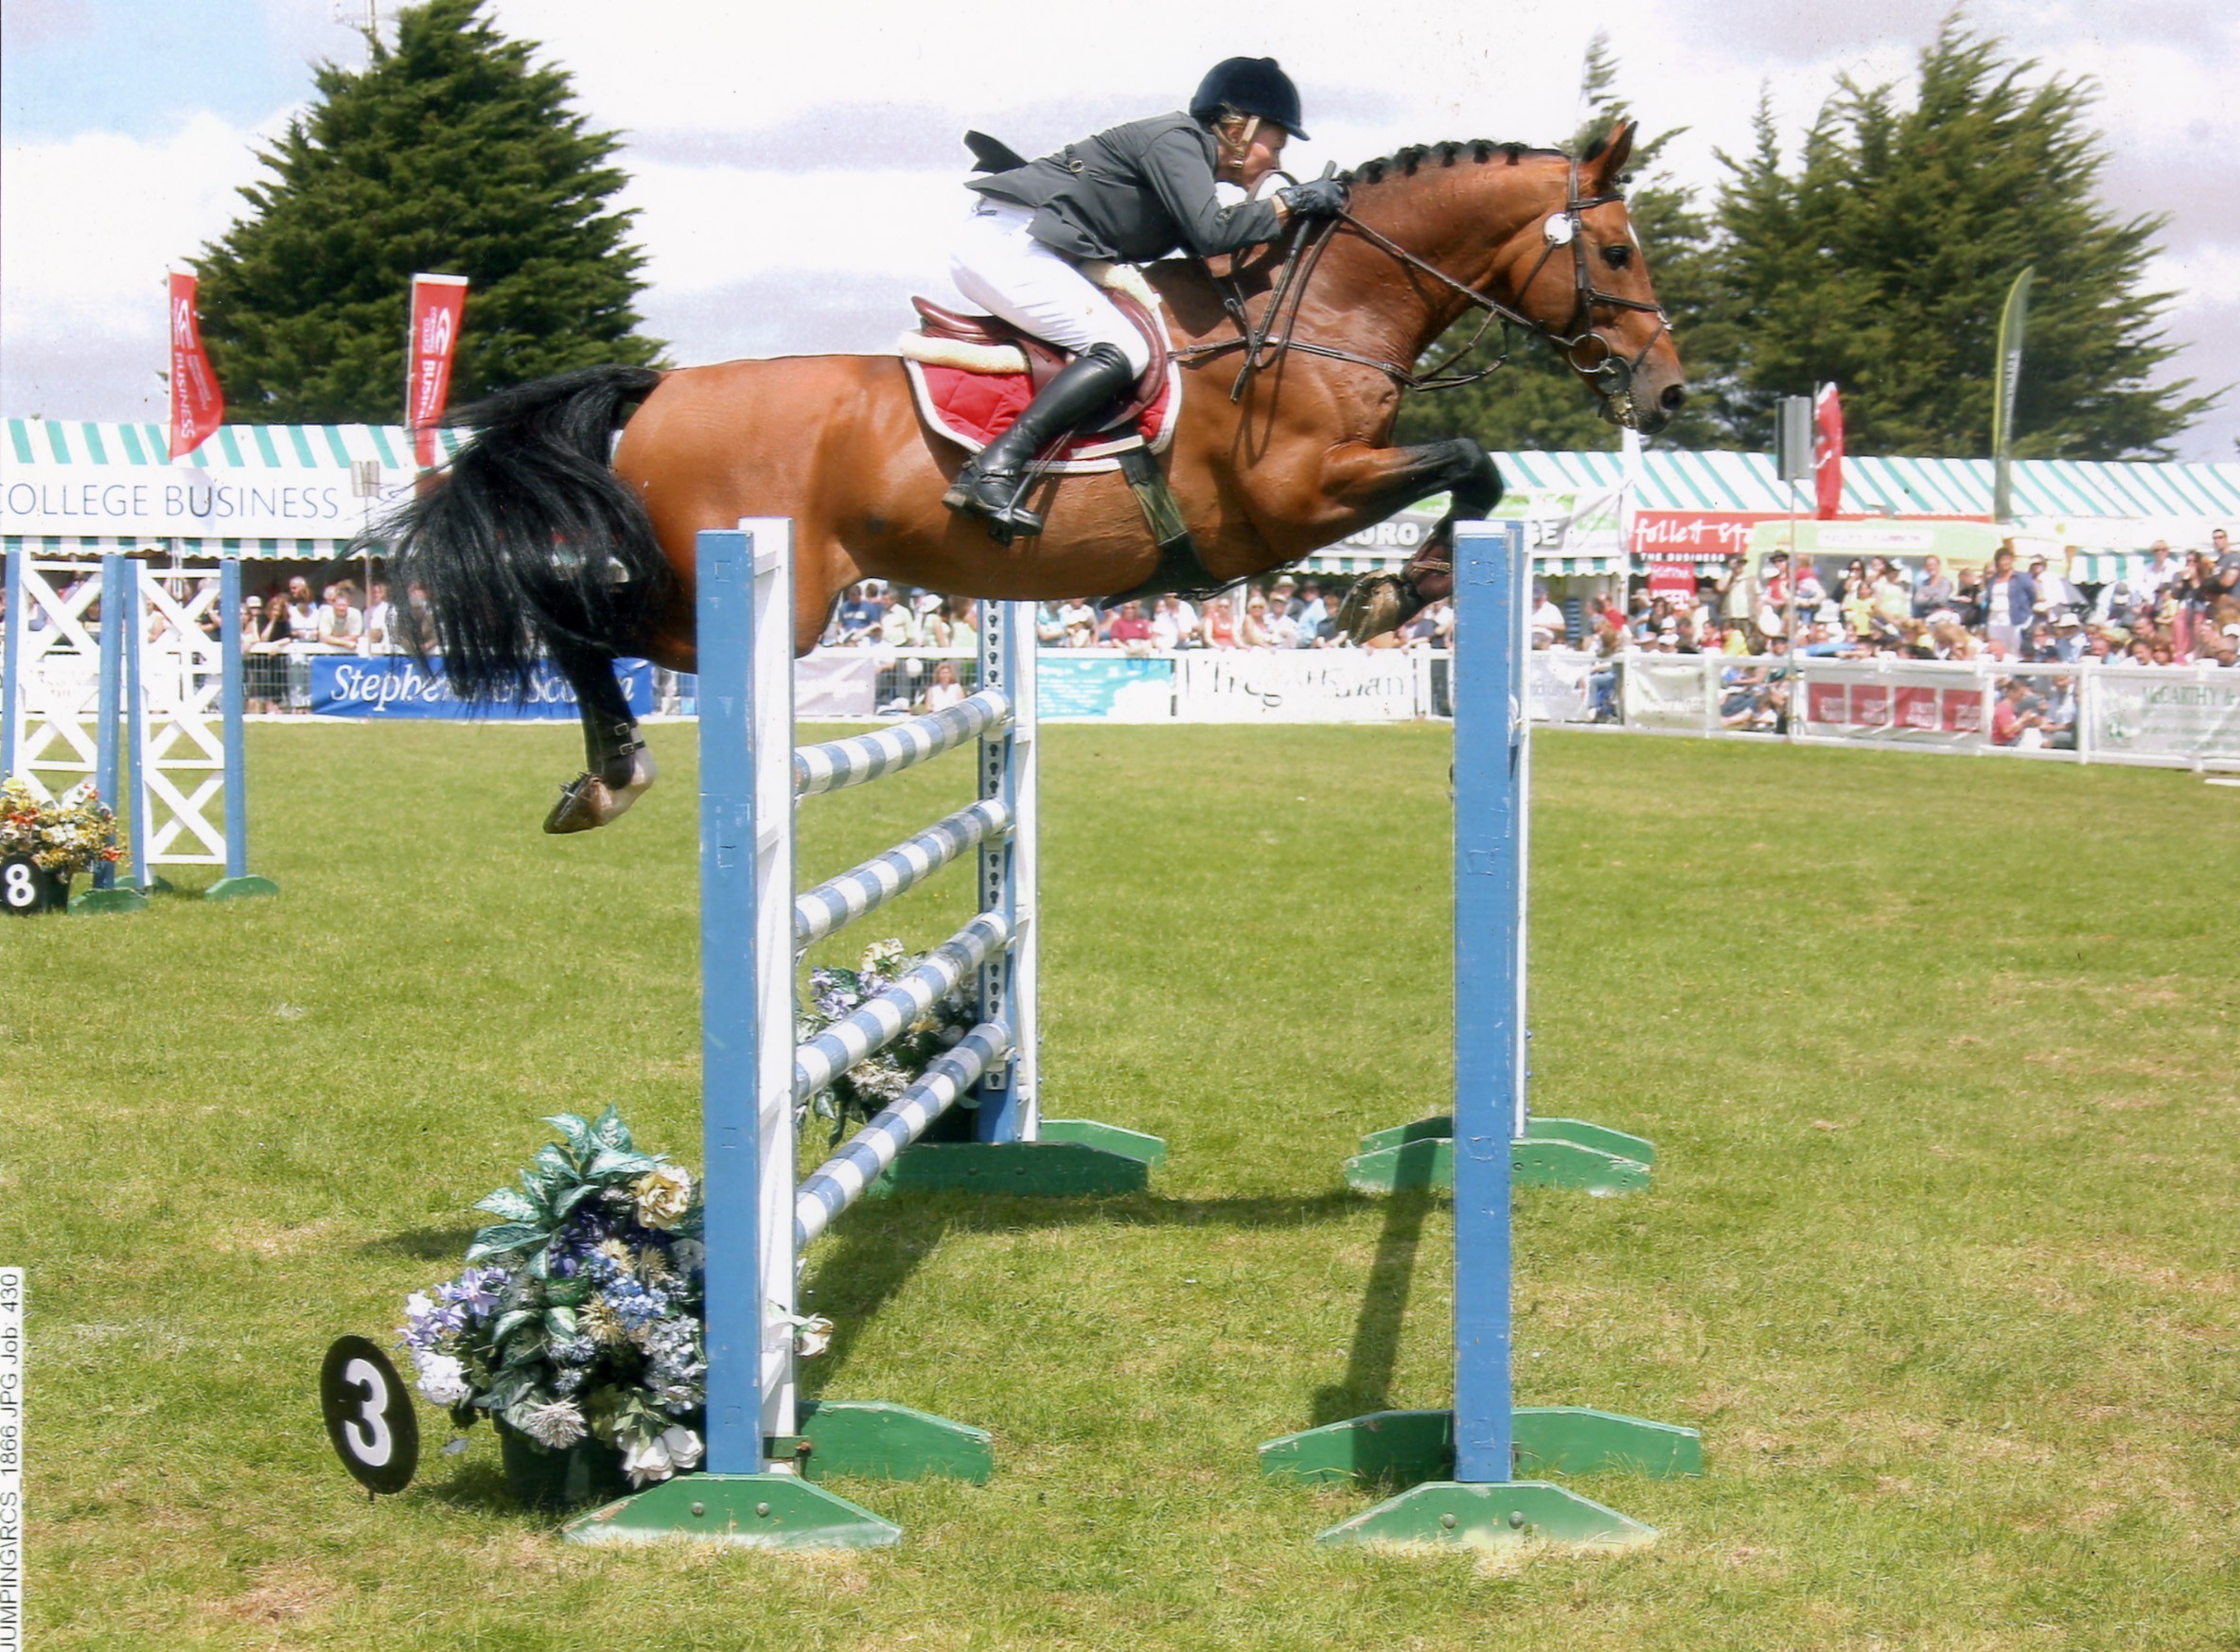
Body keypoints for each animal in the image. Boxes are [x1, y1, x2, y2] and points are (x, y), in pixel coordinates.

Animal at [386, 121, 1684, 833]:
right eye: (1619, 250)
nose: (1668, 396)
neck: (1320, 310)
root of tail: (659, 387)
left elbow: (1471, 474)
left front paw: (1394, 590)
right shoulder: (1291, 501)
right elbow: (1472, 463)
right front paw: (1385, 594)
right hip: (752, 602)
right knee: (575, 619)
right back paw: (609, 777)